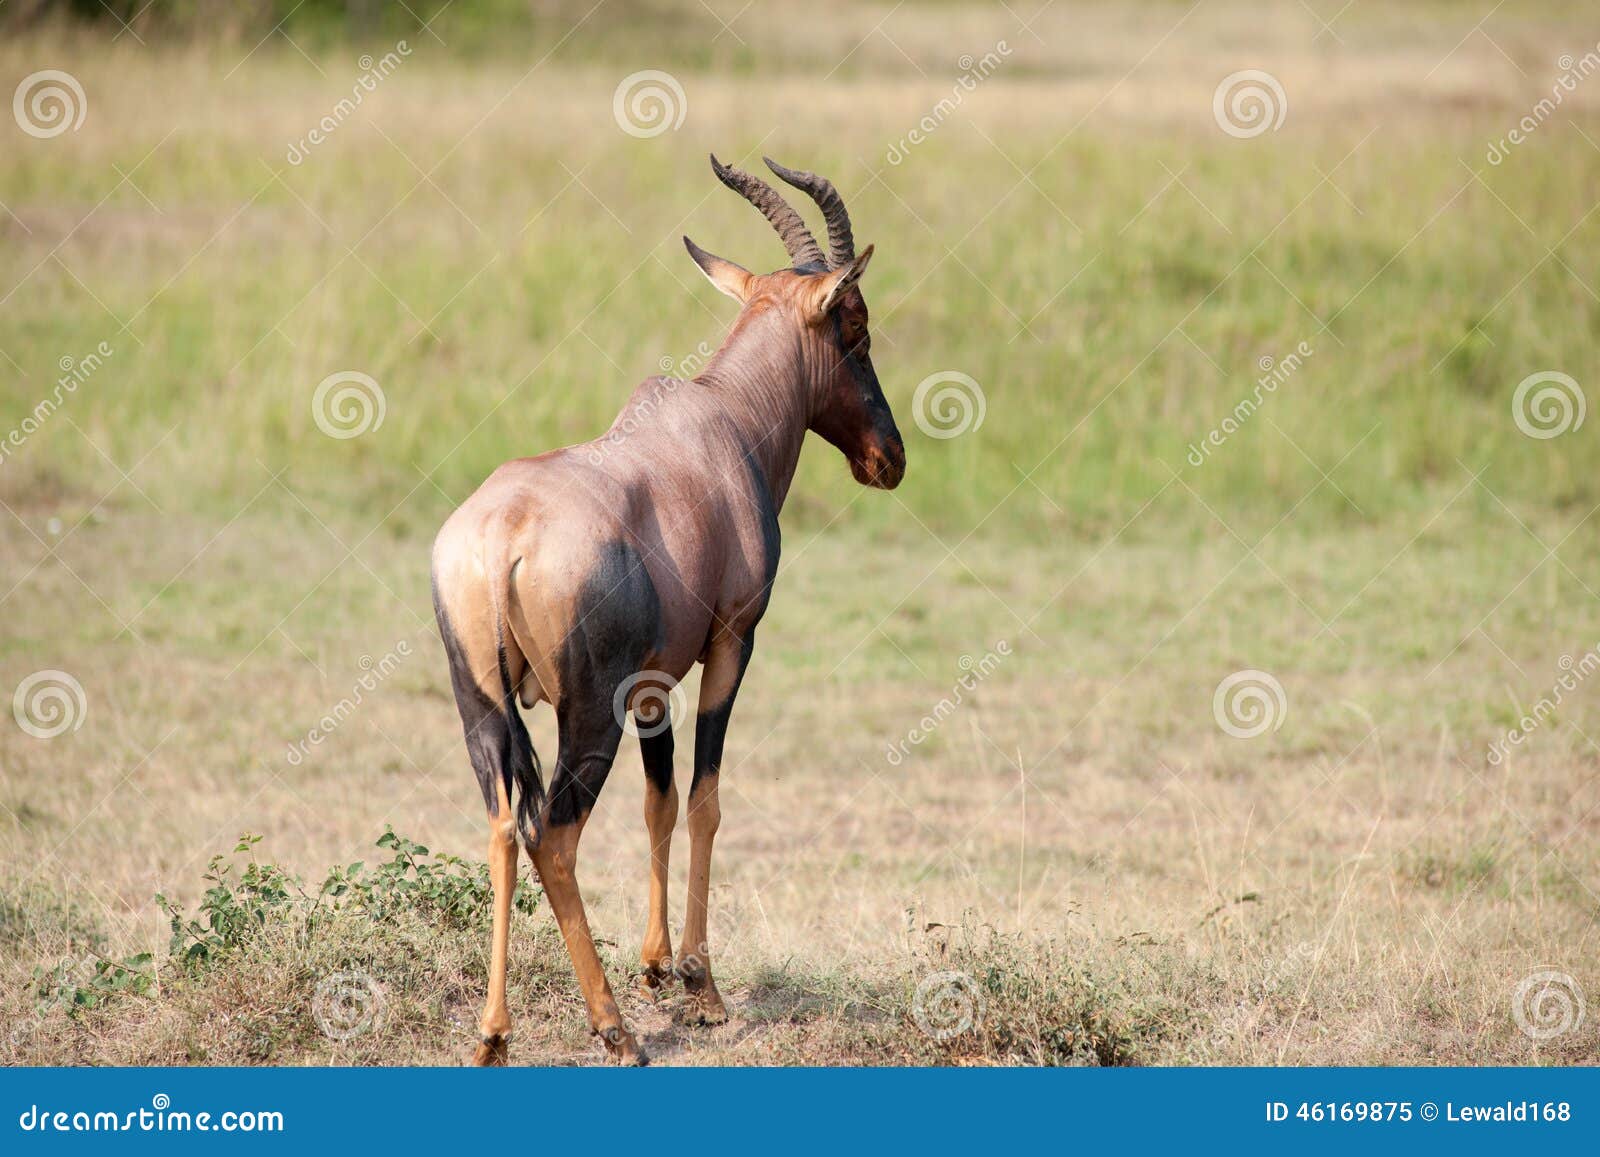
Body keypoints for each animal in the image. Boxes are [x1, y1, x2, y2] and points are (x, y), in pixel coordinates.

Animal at [431, 156, 905, 1065]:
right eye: (856, 326)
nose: (889, 458)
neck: (719, 425)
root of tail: (503, 535)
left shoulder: (650, 684)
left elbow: (657, 801)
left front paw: (654, 966)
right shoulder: (731, 641)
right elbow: (705, 796)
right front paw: (699, 985)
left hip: (480, 707)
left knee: (503, 826)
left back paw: (495, 1034)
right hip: (588, 712)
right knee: (554, 835)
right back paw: (614, 1028)